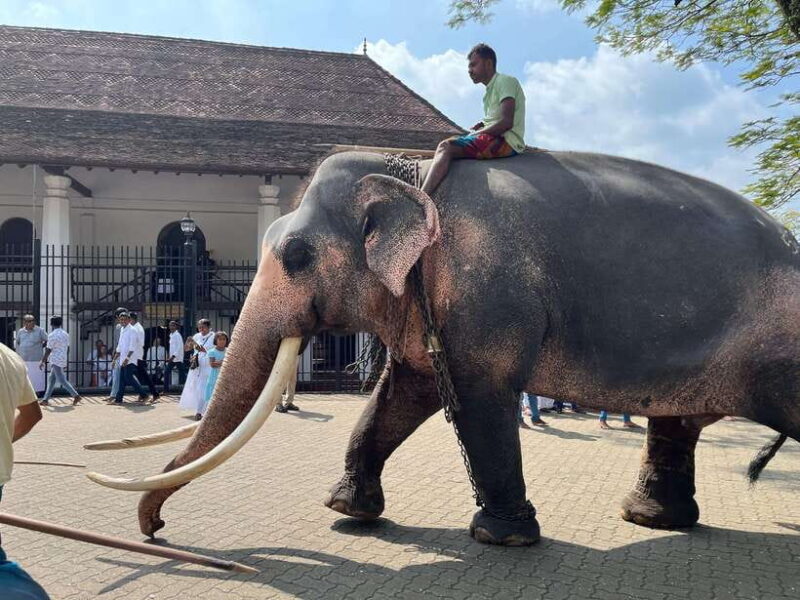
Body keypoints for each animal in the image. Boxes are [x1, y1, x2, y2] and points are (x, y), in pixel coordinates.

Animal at [86, 150, 800, 547]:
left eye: (294, 255)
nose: (157, 529)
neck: (413, 176)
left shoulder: (486, 291)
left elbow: (479, 397)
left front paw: (500, 537)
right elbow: (403, 393)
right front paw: (346, 511)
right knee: (675, 424)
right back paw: (651, 520)